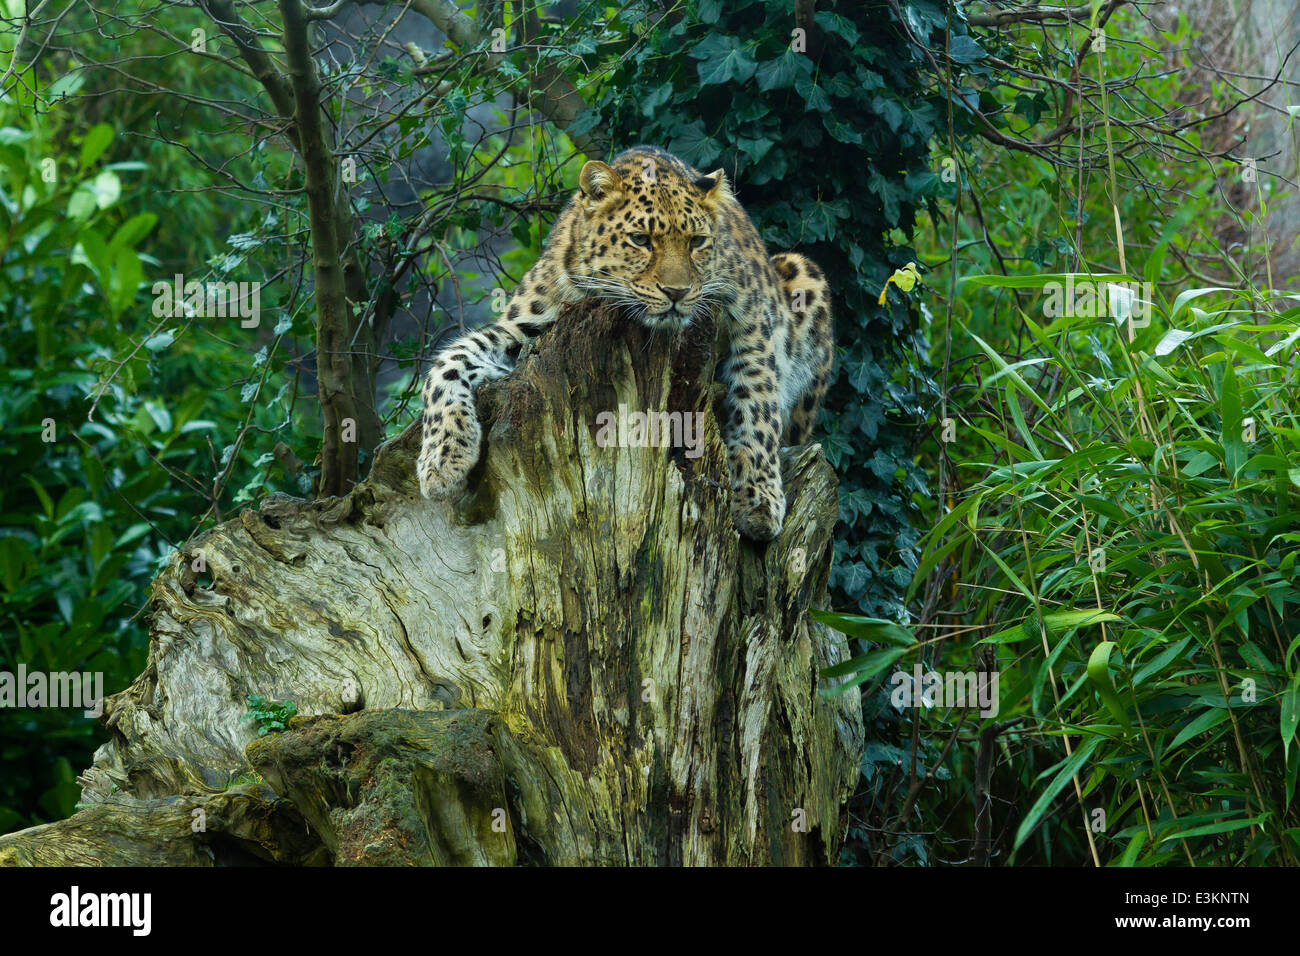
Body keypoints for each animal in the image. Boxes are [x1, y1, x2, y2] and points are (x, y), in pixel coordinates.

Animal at [416, 144, 833, 541]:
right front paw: (441, 462)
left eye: (697, 242)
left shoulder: (752, 325)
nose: (677, 292)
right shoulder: (521, 332)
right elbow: (447, 364)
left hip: (804, 274)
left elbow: (757, 407)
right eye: (640, 240)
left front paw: (759, 502)